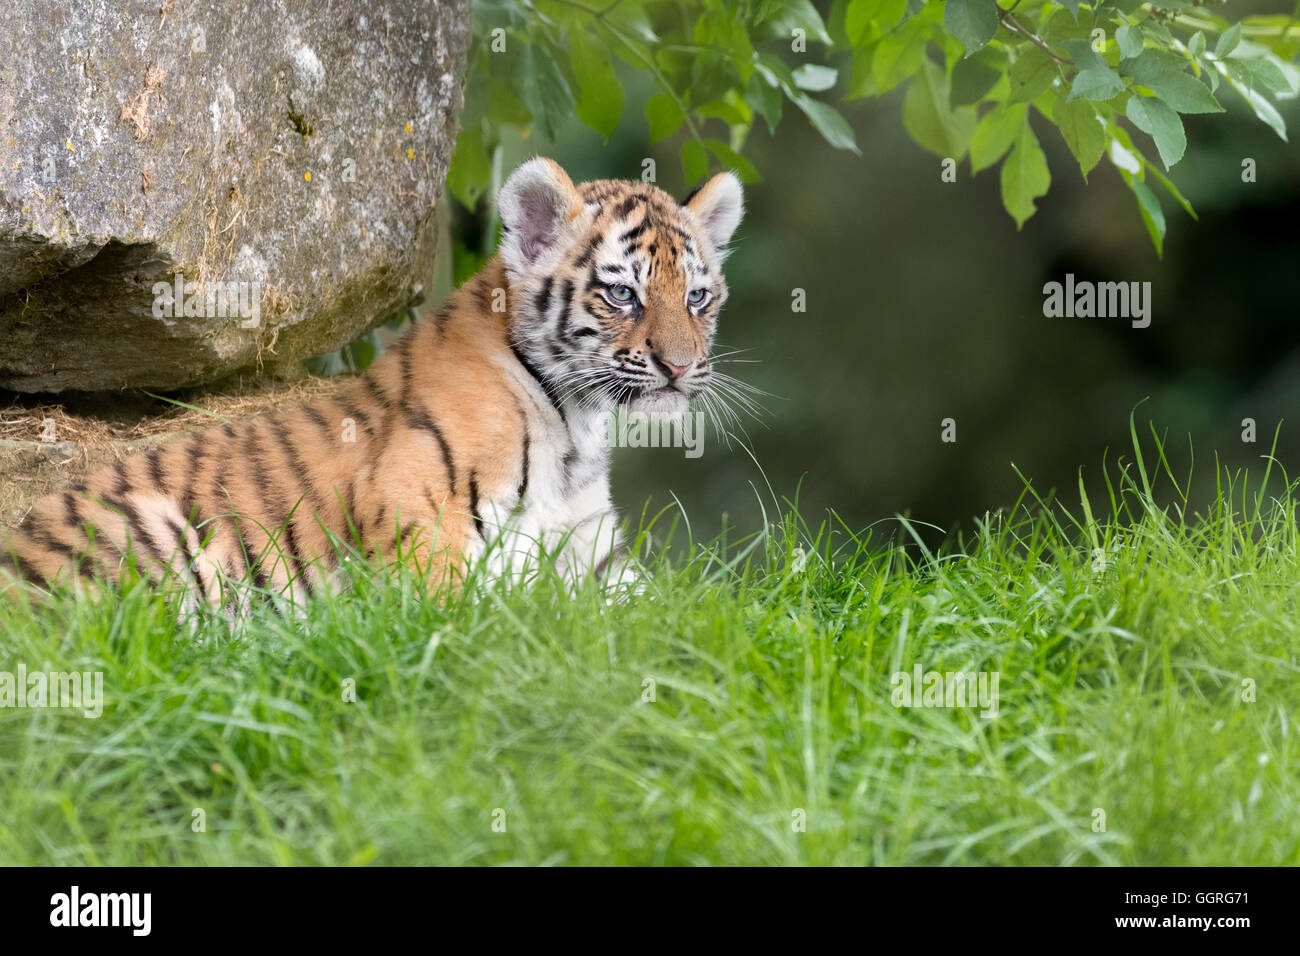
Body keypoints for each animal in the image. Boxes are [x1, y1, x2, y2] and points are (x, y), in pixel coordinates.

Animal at [0, 158, 745, 613]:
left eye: (698, 297)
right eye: (622, 294)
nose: (680, 368)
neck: (576, 428)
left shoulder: (599, 559)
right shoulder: (419, 517)